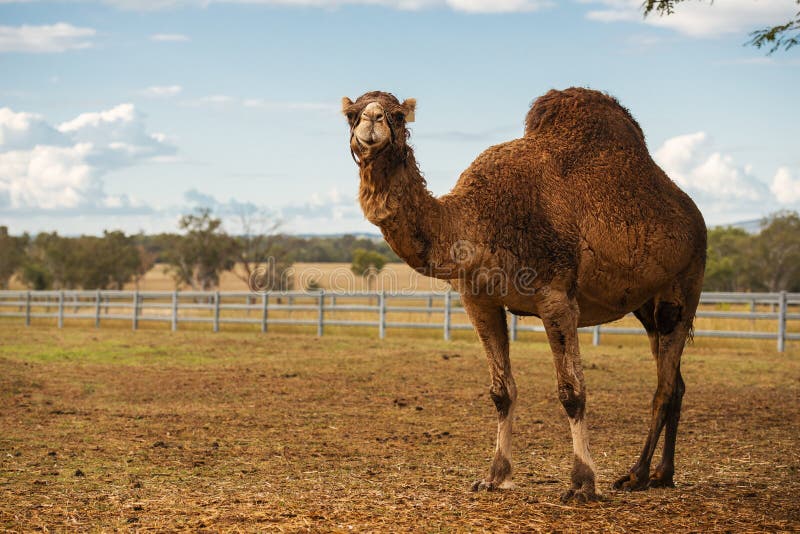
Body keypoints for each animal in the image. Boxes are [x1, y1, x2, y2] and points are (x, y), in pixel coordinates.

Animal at [341, 88, 706, 502]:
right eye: (352, 115)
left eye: (398, 115)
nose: (372, 122)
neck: (473, 220)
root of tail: (695, 216)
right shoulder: (479, 299)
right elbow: (502, 391)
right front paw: (494, 476)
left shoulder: (556, 295)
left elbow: (572, 392)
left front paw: (582, 483)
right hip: (647, 304)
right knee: (676, 381)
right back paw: (662, 474)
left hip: (685, 285)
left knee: (664, 386)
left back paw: (637, 474)